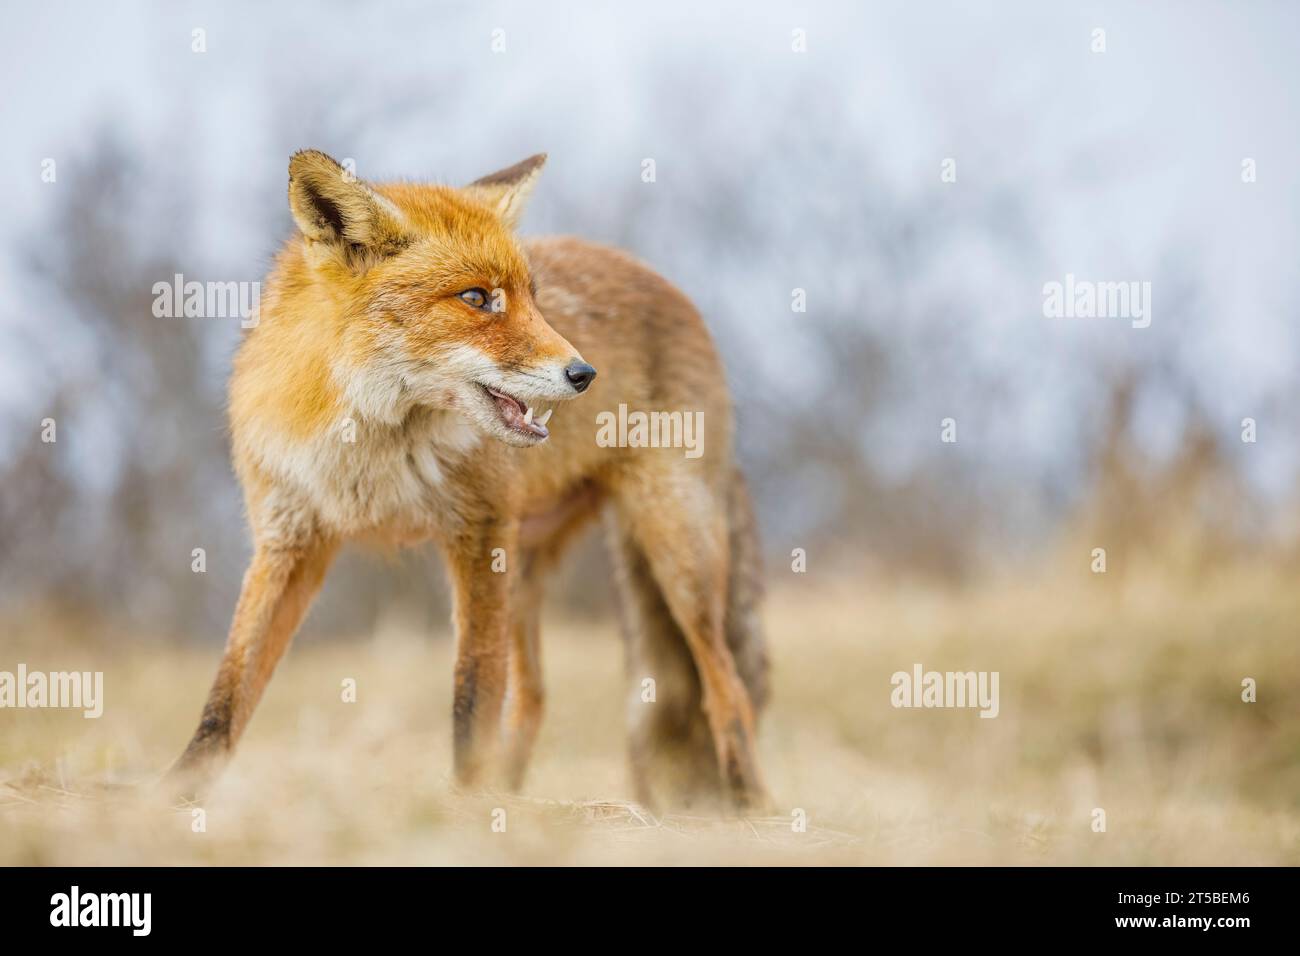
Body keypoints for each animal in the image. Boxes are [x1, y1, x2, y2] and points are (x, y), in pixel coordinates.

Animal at [168, 150, 770, 811]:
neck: (371, 450)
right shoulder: (288, 540)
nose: (584, 373)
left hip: (676, 553)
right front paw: (176, 794)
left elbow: (473, 690)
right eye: (478, 297)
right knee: (534, 699)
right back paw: (513, 793)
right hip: (528, 567)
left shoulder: (477, 535)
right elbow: (227, 692)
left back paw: (749, 805)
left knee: (727, 686)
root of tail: (666, 282)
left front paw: (466, 805)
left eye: (534, 298)